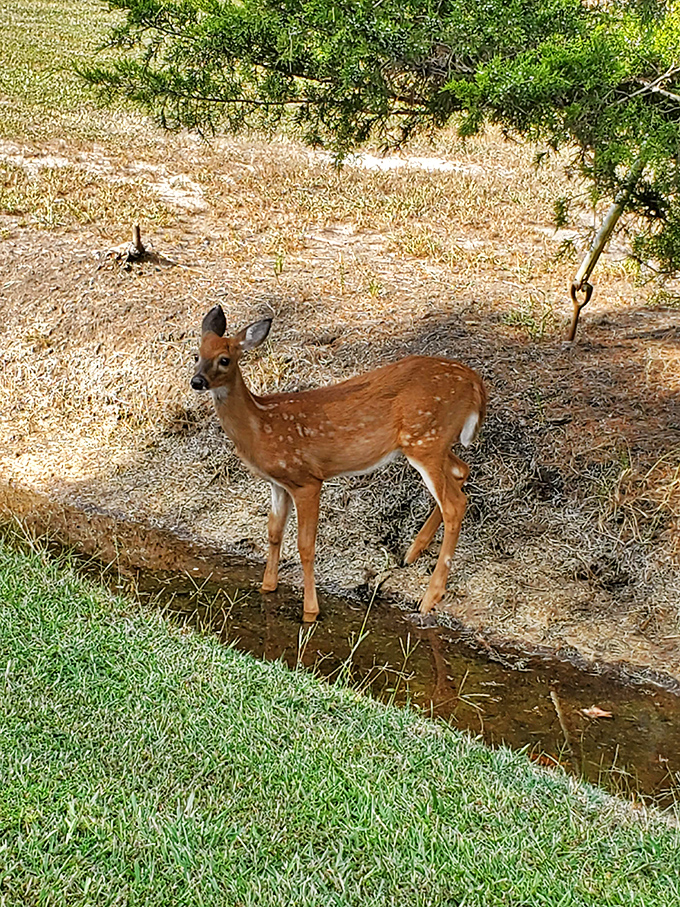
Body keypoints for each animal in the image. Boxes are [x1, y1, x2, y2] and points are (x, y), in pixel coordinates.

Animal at [191, 305, 487, 622]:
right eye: (196, 355)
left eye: (224, 359)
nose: (197, 381)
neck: (261, 426)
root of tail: (476, 383)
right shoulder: (278, 483)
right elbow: (273, 532)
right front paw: (267, 587)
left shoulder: (306, 479)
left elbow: (305, 545)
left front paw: (310, 611)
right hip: (433, 442)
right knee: (461, 472)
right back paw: (412, 553)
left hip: (425, 439)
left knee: (455, 504)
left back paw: (430, 597)